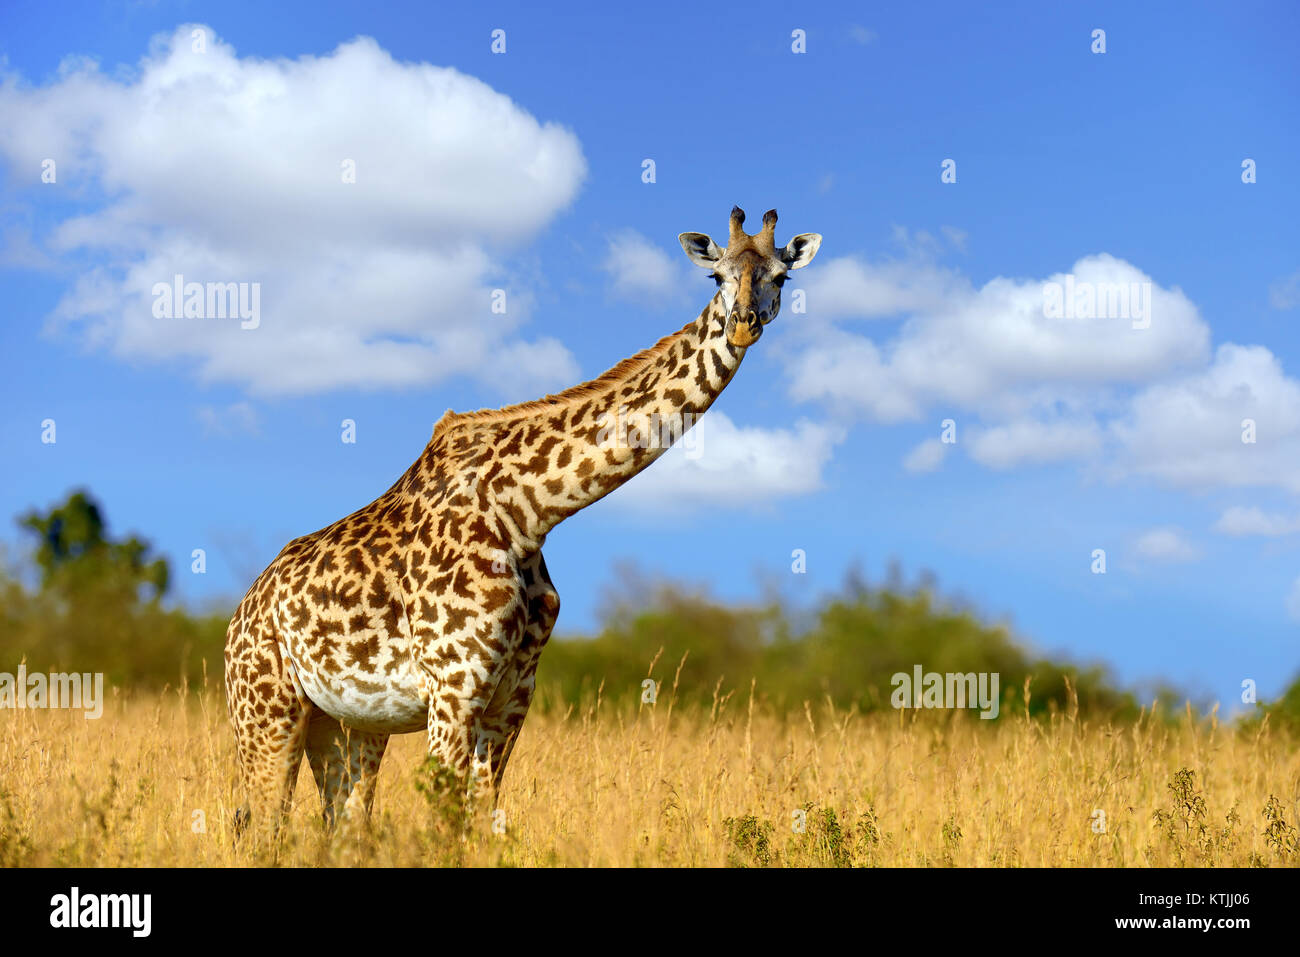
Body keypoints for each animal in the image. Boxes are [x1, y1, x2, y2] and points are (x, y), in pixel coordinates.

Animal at [223, 206, 821, 830]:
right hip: (265, 710)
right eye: (715, 276)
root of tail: (240, 614)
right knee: (264, 823)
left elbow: (482, 821)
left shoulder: (512, 697)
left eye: (782, 277)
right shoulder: (453, 688)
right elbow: (442, 823)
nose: (744, 324)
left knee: (342, 824)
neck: (527, 514)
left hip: (348, 723)